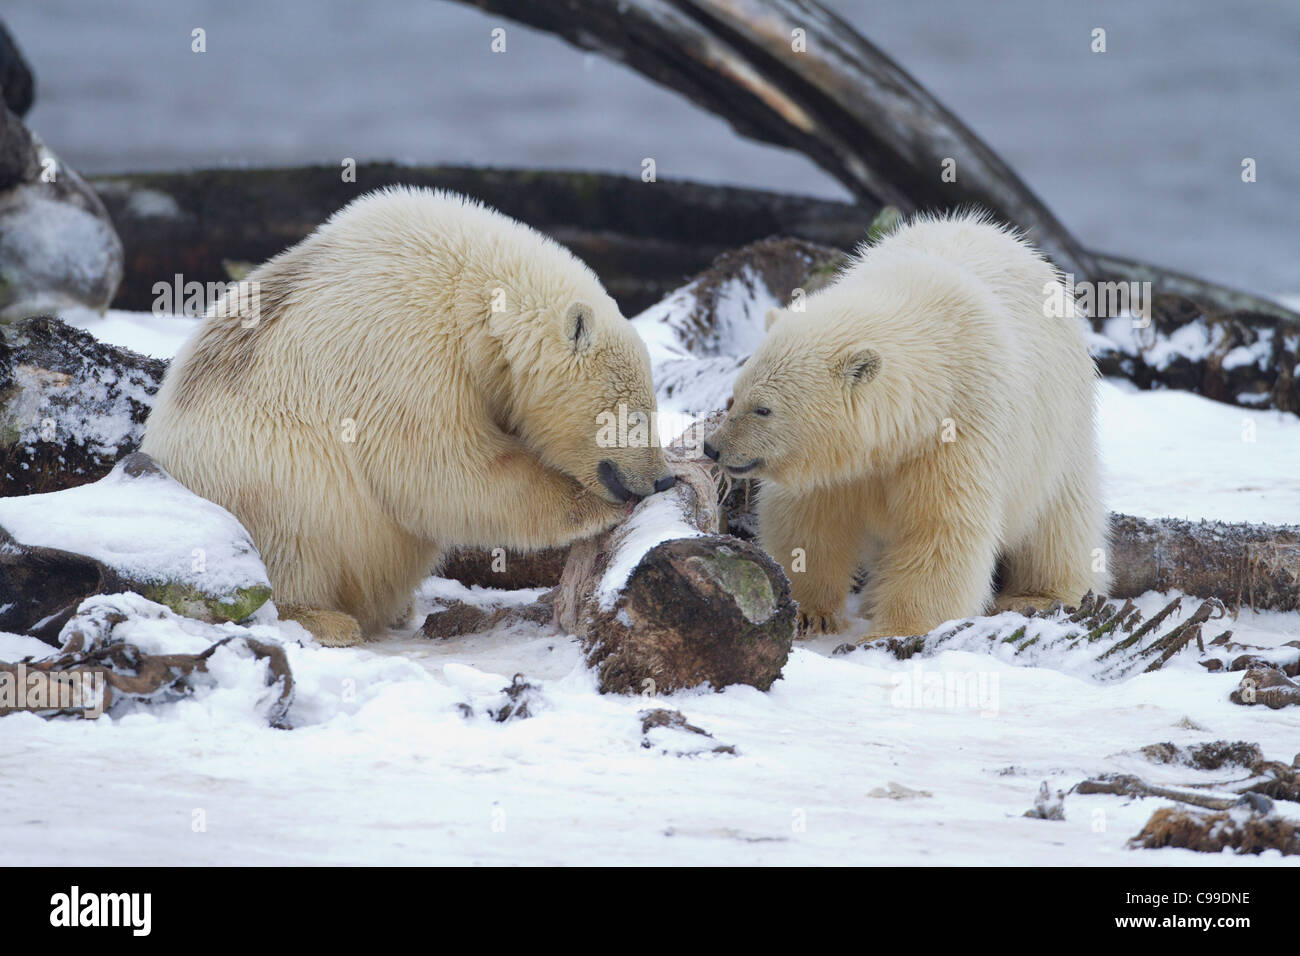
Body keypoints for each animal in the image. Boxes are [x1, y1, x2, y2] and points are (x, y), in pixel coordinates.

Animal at [142, 186, 675, 644]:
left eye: (652, 408)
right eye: (632, 416)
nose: (663, 479)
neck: (471, 292)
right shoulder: (408, 350)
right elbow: (437, 468)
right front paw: (592, 509)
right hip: (258, 466)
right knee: (298, 524)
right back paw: (323, 618)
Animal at [704, 211, 1108, 639]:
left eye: (763, 409)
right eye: (735, 395)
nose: (713, 446)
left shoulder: (958, 425)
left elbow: (940, 530)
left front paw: (896, 629)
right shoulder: (839, 465)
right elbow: (809, 520)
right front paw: (809, 612)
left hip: (1061, 426)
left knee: (1060, 518)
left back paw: (1041, 594)